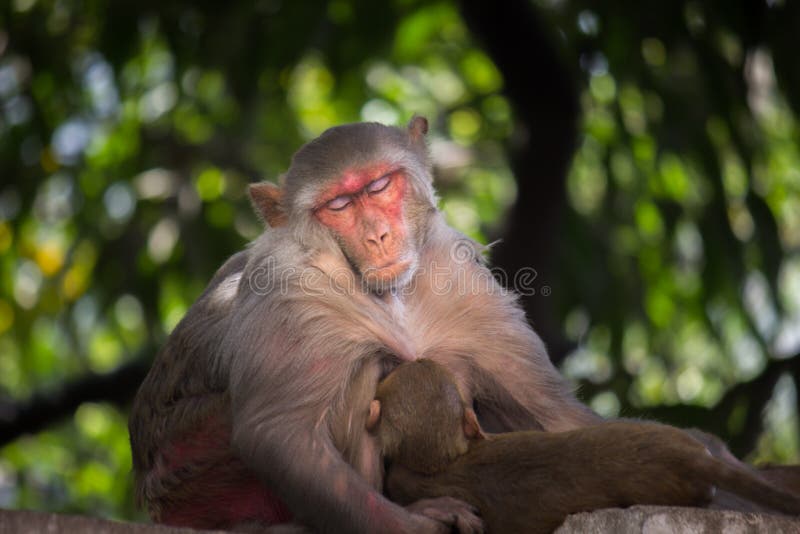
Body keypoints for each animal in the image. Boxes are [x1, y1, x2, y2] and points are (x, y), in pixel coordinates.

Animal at [128, 116, 601, 533]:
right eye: (338, 205)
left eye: (379, 186)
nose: (377, 236)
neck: (392, 297)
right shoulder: (288, 288)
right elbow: (279, 434)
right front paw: (417, 525)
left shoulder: (465, 285)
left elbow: (555, 414)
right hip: (197, 466)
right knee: (364, 366)